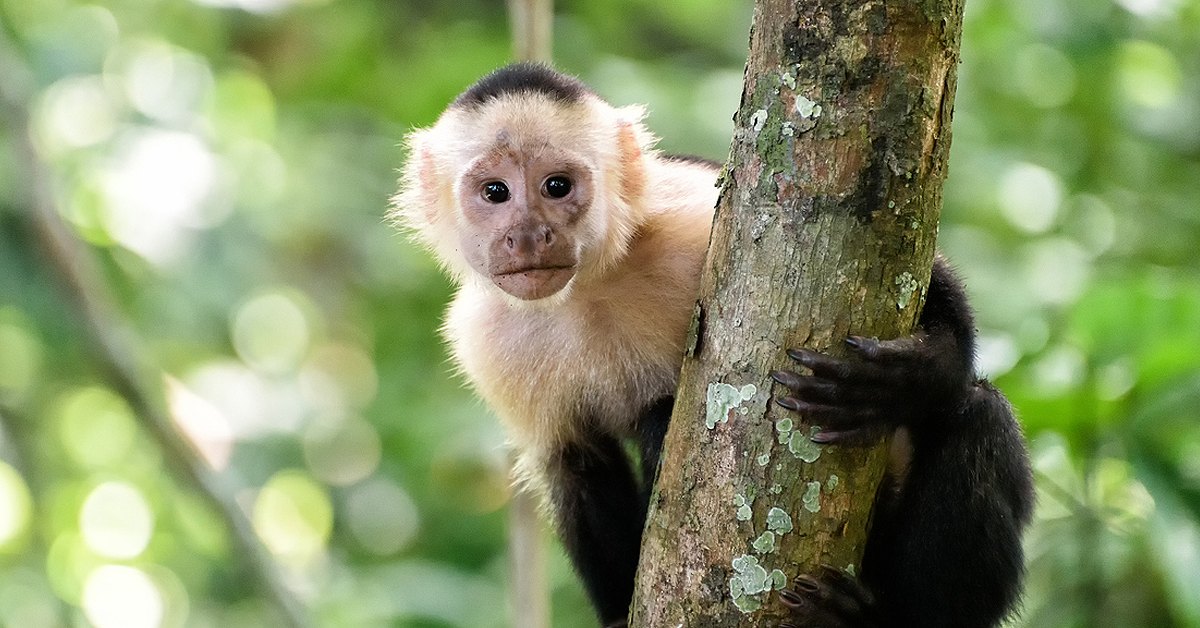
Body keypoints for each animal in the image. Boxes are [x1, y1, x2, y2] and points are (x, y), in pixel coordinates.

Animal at [392, 63, 1033, 628]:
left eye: (557, 186)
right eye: (495, 192)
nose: (528, 235)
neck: (585, 289)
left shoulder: (689, 213)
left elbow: (926, 277)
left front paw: (909, 375)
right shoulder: (484, 339)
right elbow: (576, 464)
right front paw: (618, 616)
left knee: (977, 415)